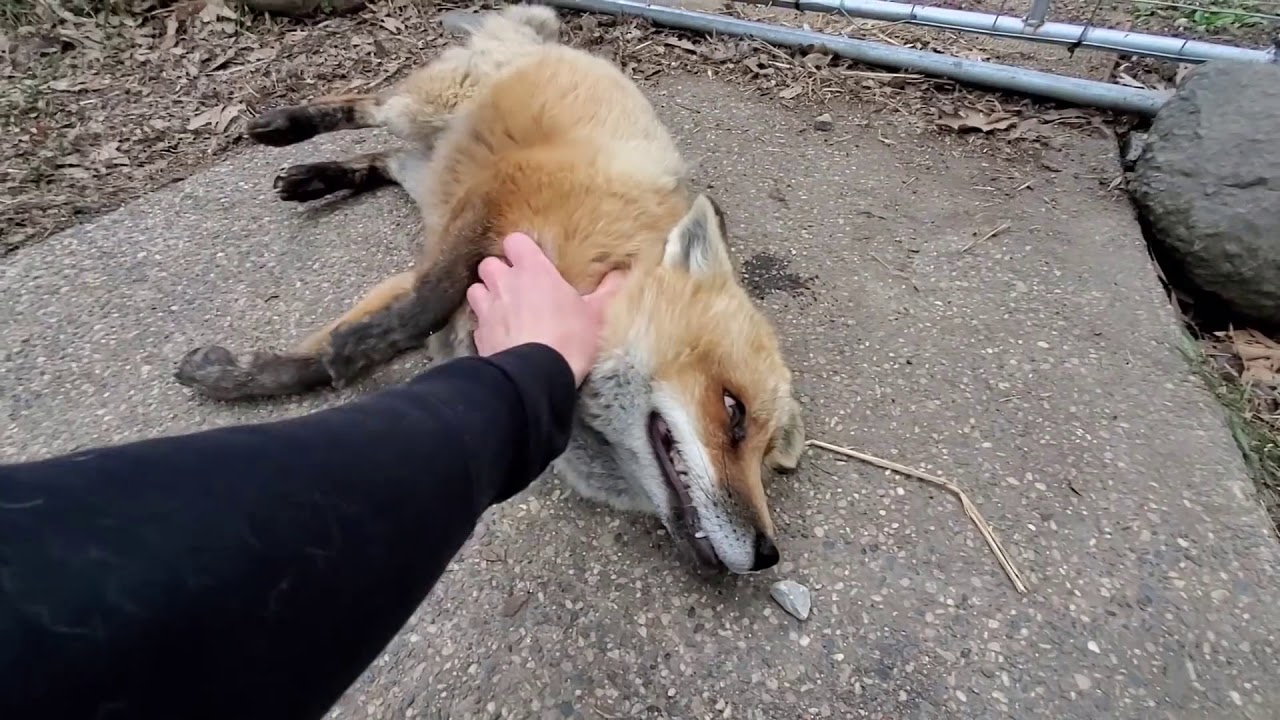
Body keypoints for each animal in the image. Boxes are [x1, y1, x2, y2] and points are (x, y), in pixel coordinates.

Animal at [172, 3, 807, 575]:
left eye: (766, 454)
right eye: (733, 411)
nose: (768, 554)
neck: (600, 264)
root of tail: (551, 42)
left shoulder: (454, 263)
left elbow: (340, 345)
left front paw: (246, 373)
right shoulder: (500, 197)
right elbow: (415, 308)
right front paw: (321, 357)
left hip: (423, 173)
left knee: (384, 158)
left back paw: (319, 176)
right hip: (420, 113)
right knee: (368, 103)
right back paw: (288, 126)